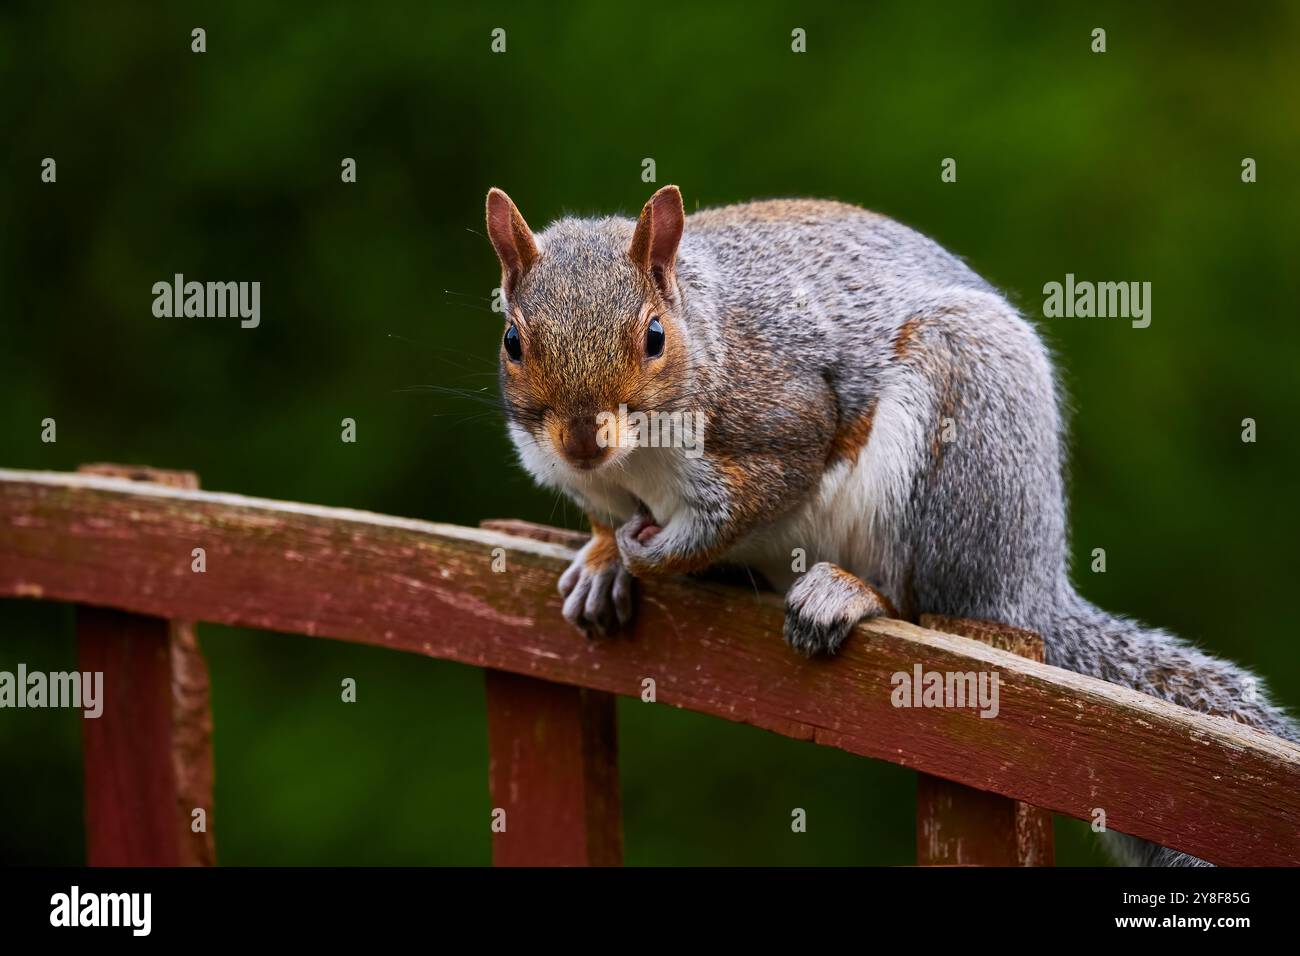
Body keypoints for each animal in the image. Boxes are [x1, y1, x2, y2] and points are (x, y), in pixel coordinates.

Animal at [484, 184, 1297, 867]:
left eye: (654, 336)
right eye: (512, 341)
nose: (584, 441)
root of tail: (1031, 582)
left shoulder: (783, 418)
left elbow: (749, 501)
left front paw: (654, 554)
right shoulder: (573, 474)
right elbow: (601, 518)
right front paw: (602, 562)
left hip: (959, 443)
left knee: (917, 598)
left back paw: (847, 593)